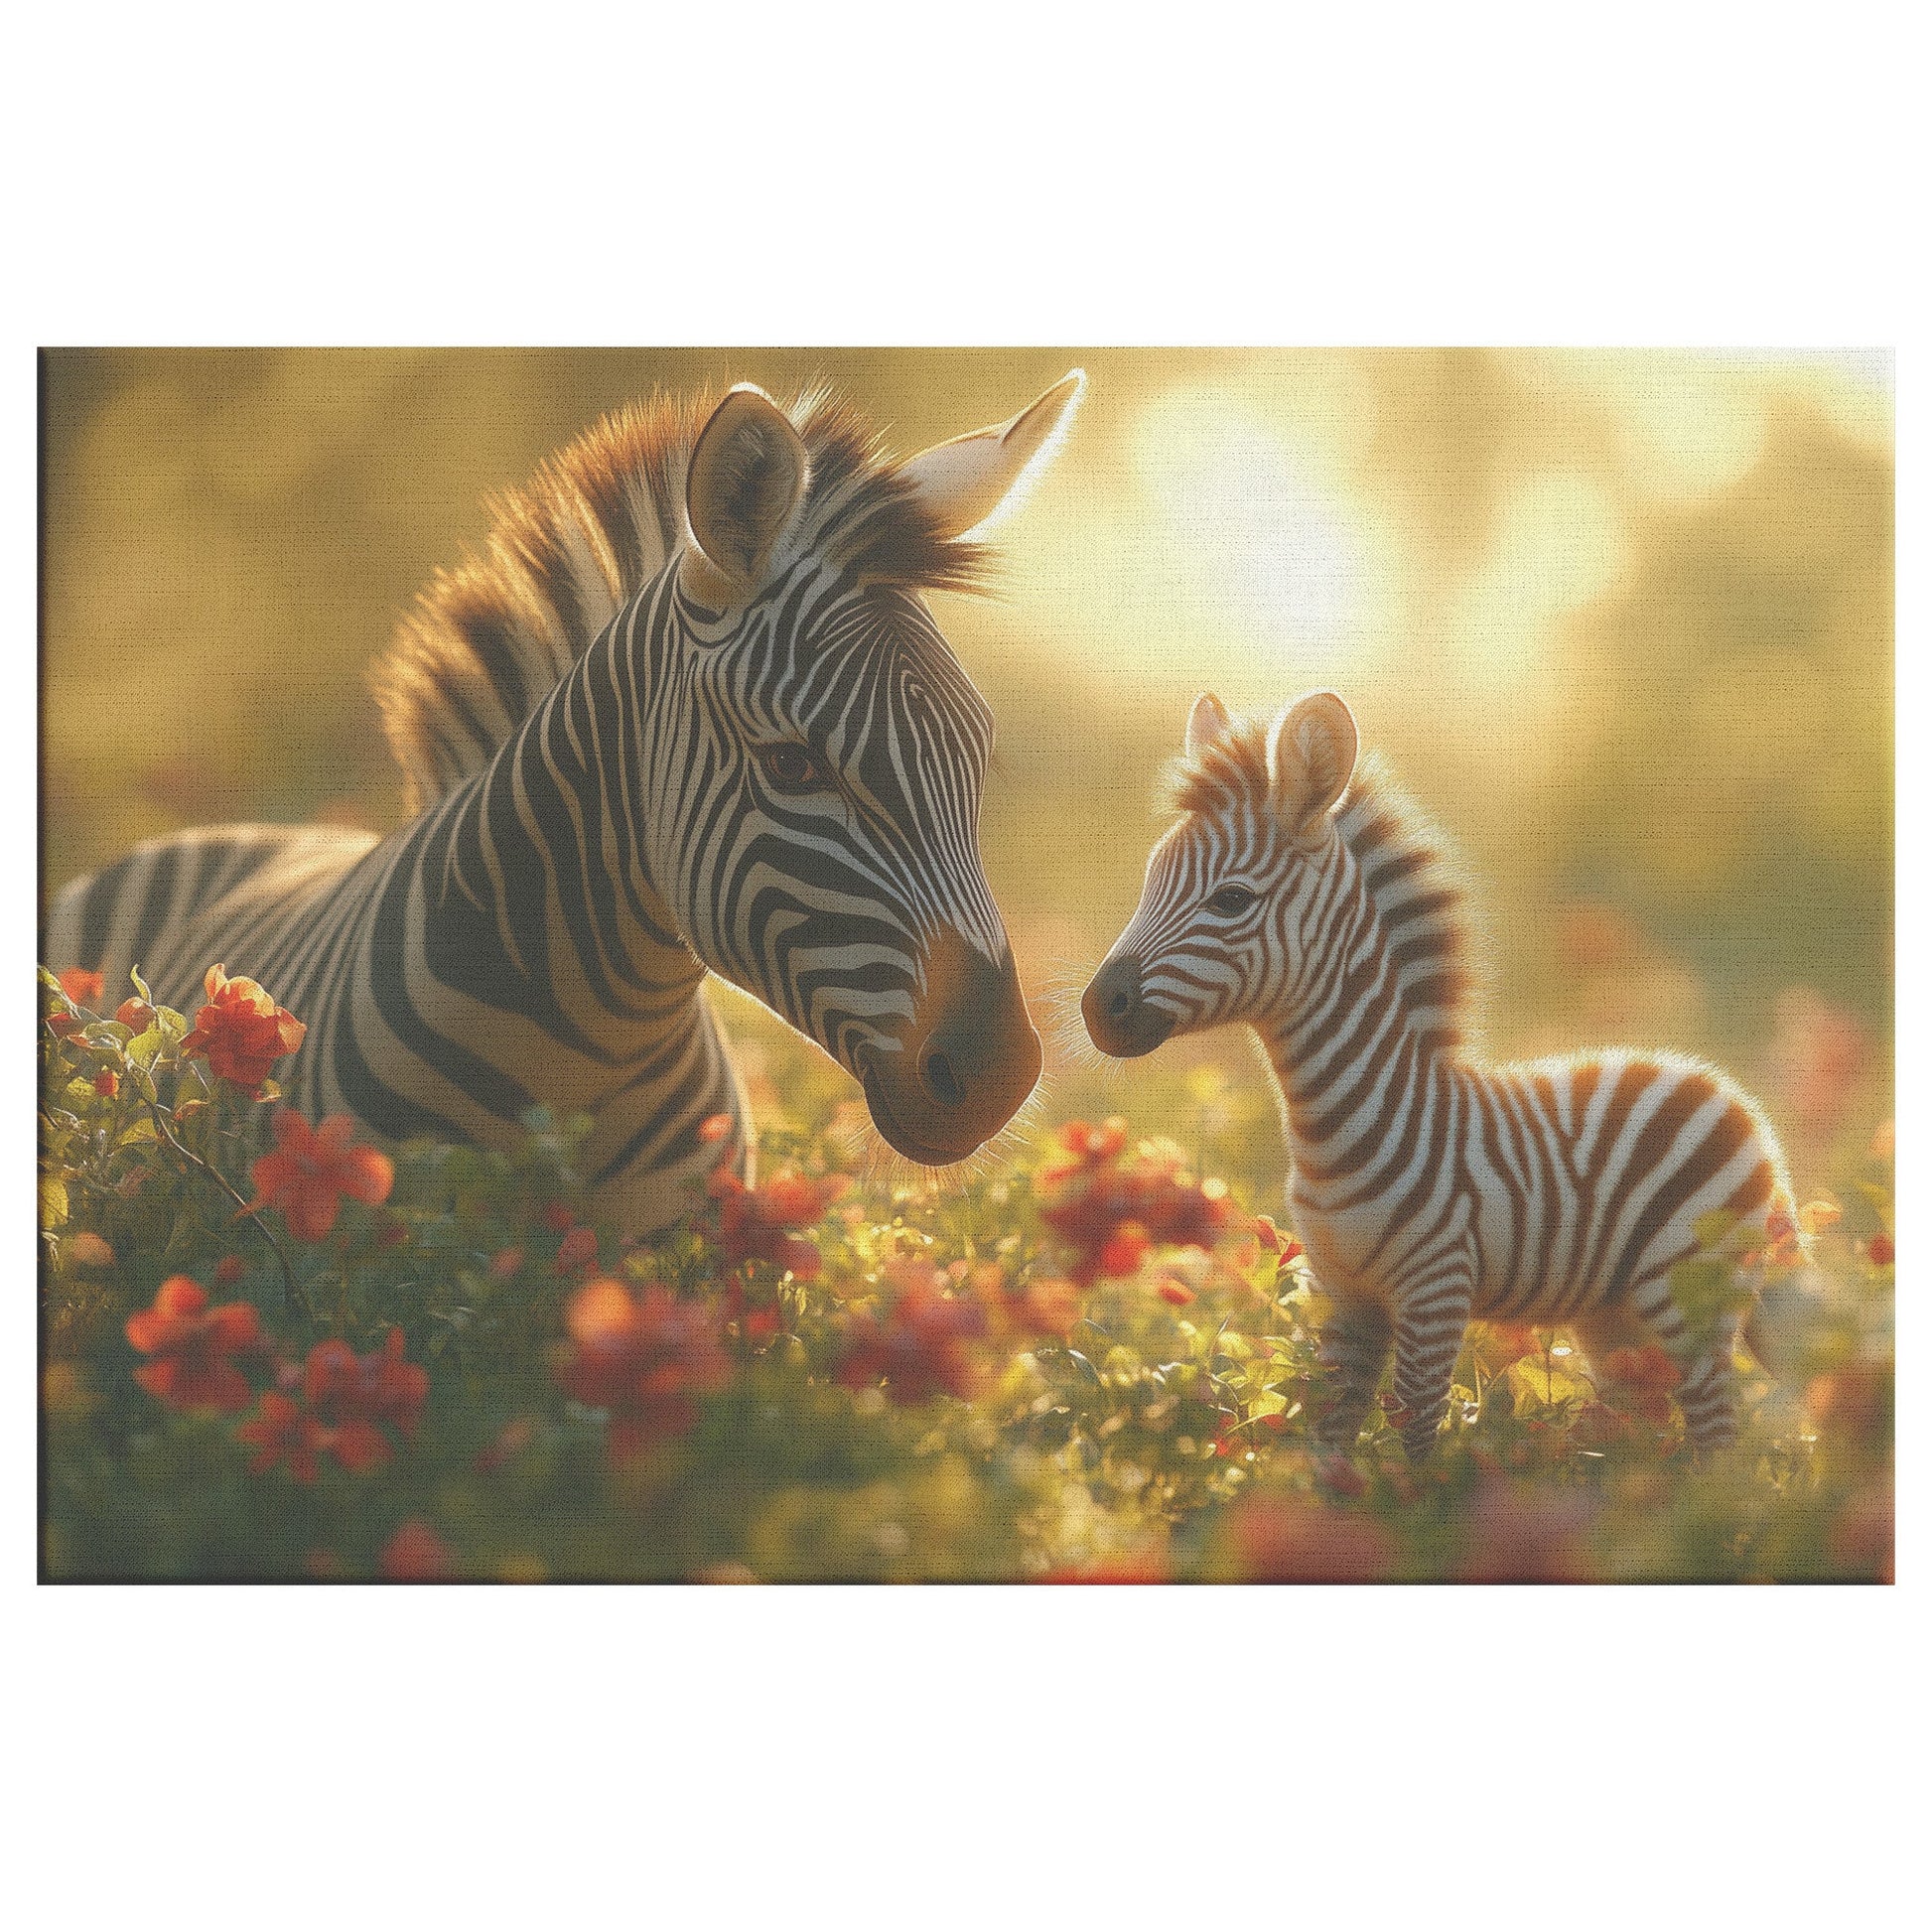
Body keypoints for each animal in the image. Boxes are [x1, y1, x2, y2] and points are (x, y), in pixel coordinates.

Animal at [1081, 688, 1802, 1459]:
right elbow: (1328, 1438)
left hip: (1691, 1296)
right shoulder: (1345, 1297)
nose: (1097, 1009)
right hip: (1613, 1313)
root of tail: (1734, 1098)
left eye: (1231, 900)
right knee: (1648, 1436)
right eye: (1148, 882)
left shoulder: (1436, 1293)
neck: (1340, 1126)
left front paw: (1420, 1491)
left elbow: (1415, 1440)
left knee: (1720, 1439)